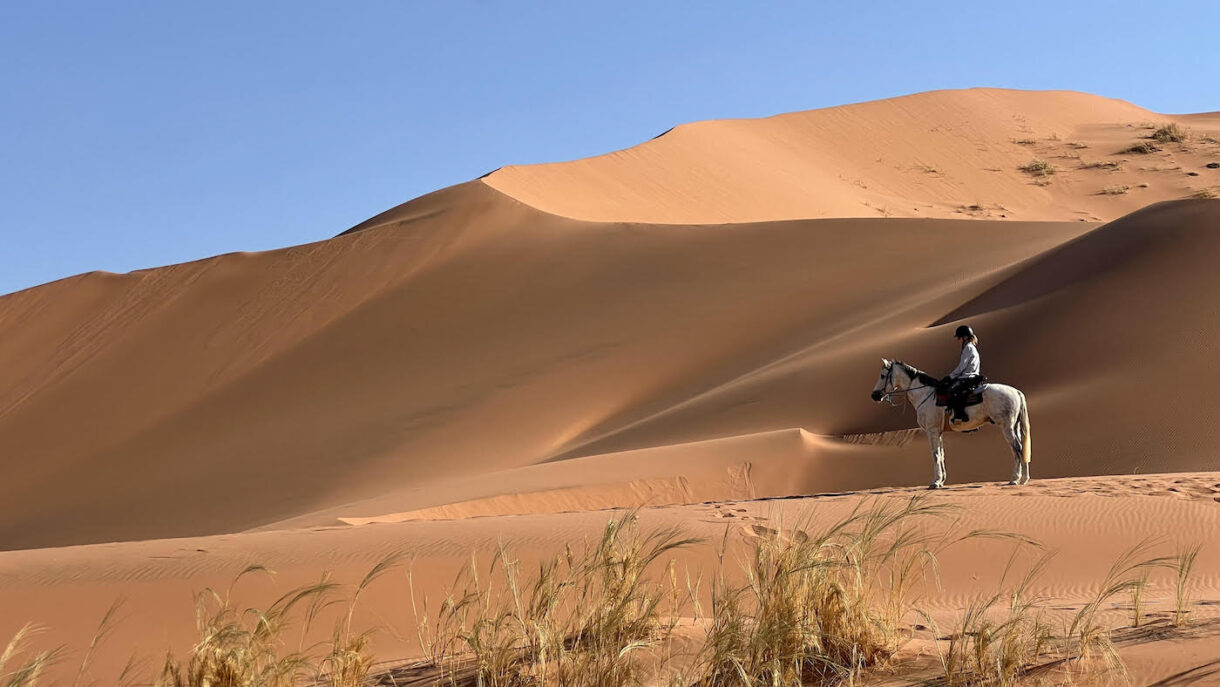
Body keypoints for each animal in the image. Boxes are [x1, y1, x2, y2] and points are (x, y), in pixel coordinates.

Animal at [869, 358, 1032, 489]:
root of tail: (1016, 392)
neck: (926, 395)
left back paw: (1016, 479)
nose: (875, 395)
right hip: (1014, 427)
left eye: (882, 375)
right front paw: (941, 481)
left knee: (1017, 448)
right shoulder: (938, 432)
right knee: (1020, 448)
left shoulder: (932, 431)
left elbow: (935, 454)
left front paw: (935, 482)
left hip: (1007, 427)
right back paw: (1022, 479)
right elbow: (941, 454)